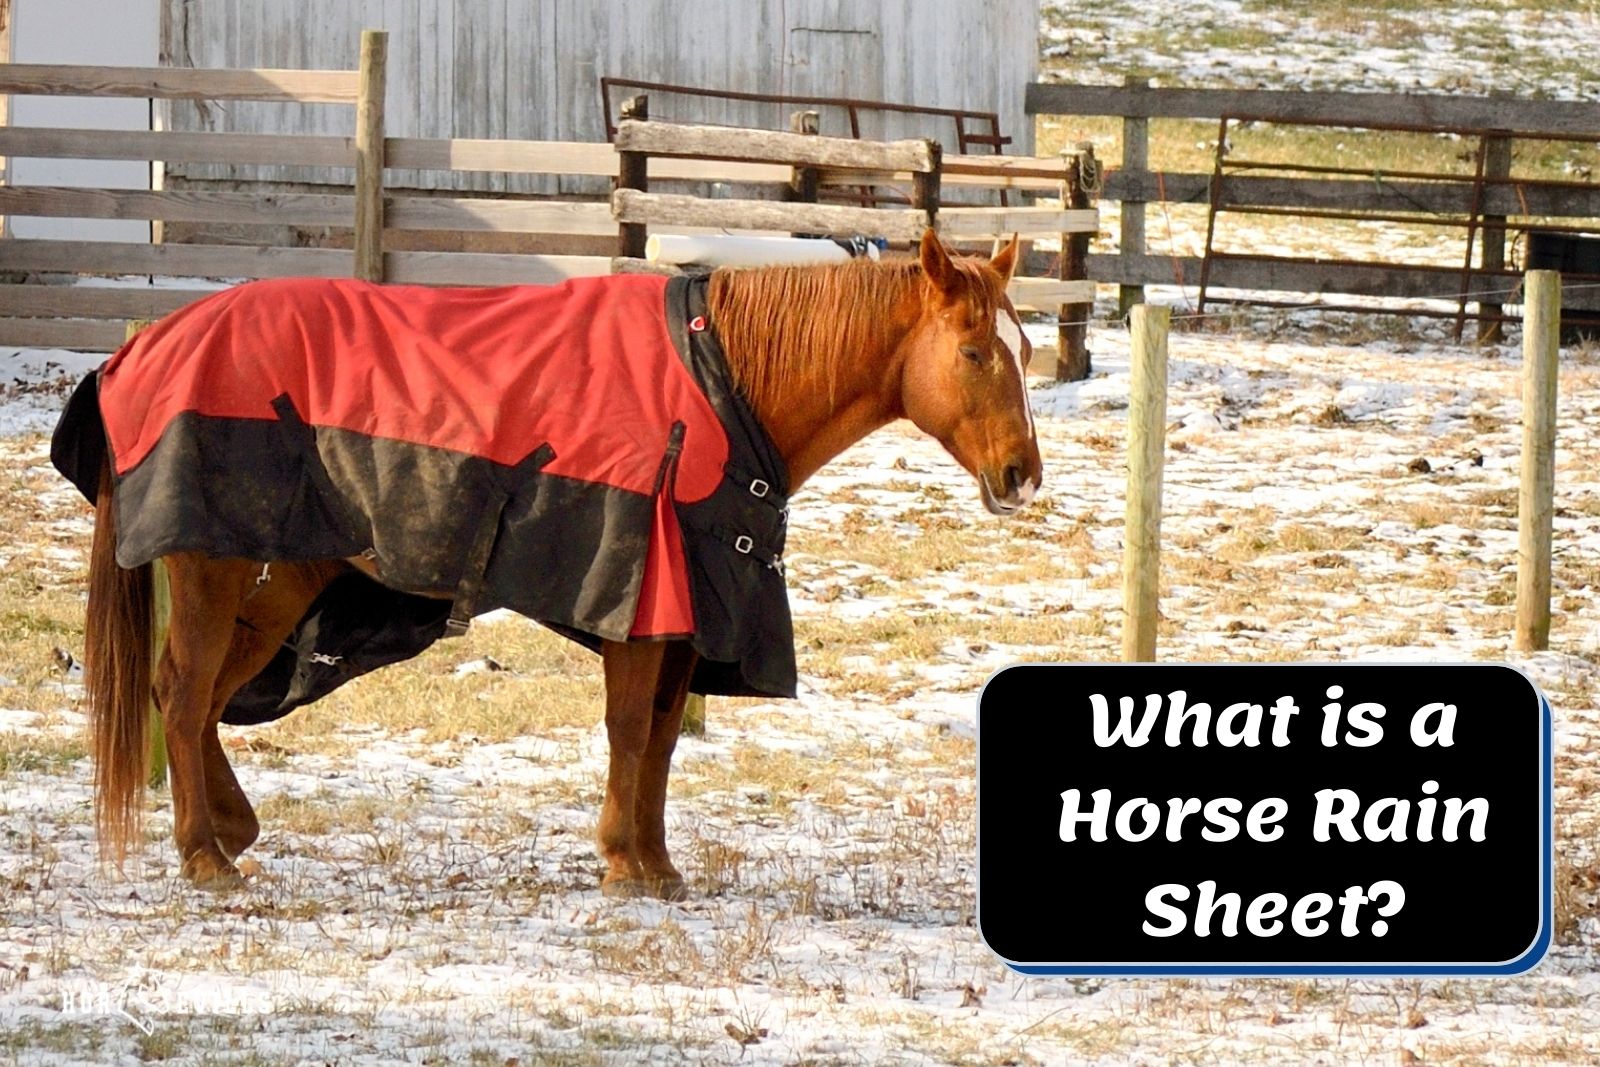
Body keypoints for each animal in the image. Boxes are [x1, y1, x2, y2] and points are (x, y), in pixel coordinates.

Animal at [66, 229, 1041, 900]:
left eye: (1027, 351)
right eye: (974, 351)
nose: (1021, 476)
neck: (716, 383)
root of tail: (145, 345)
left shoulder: (688, 619)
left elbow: (660, 740)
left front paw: (656, 862)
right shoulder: (641, 602)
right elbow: (630, 730)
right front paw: (624, 862)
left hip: (276, 586)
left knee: (201, 699)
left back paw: (228, 830)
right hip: (215, 572)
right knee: (183, 691)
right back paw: (203, 853)